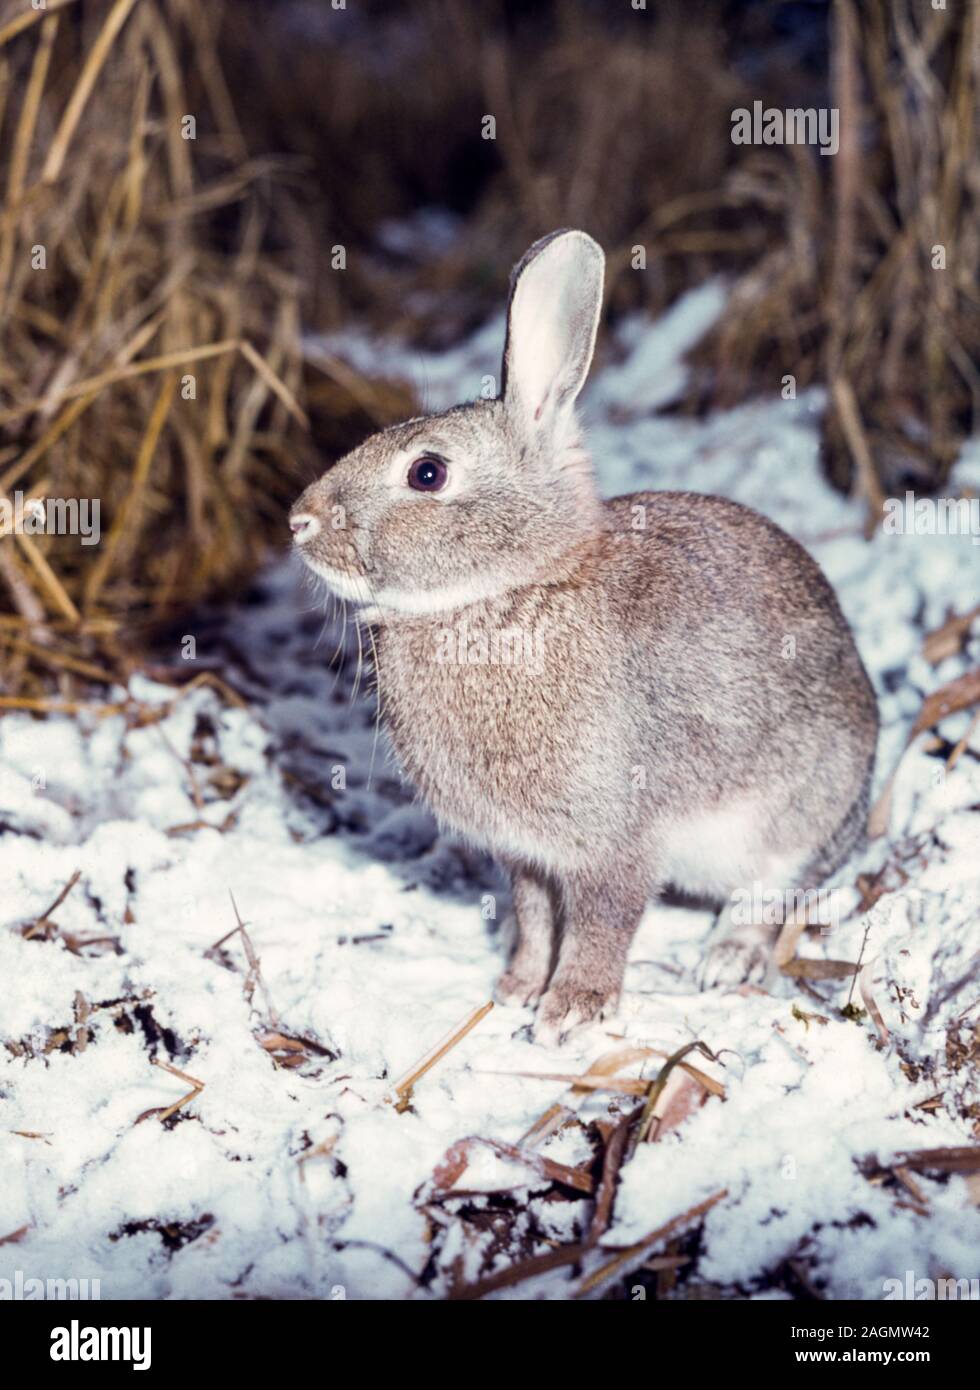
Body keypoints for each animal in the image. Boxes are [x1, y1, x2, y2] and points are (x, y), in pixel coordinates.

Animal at [290, 229, 879, 1044]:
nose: (299, 521)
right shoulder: (527, 858)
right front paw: (516, 989)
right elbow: (536, 920)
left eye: (428, 473)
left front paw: (570, 1012)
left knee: (774, 893)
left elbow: (604, 923)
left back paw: (724, 958)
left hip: (797, 812)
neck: (507, 591)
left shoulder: (615, 841)